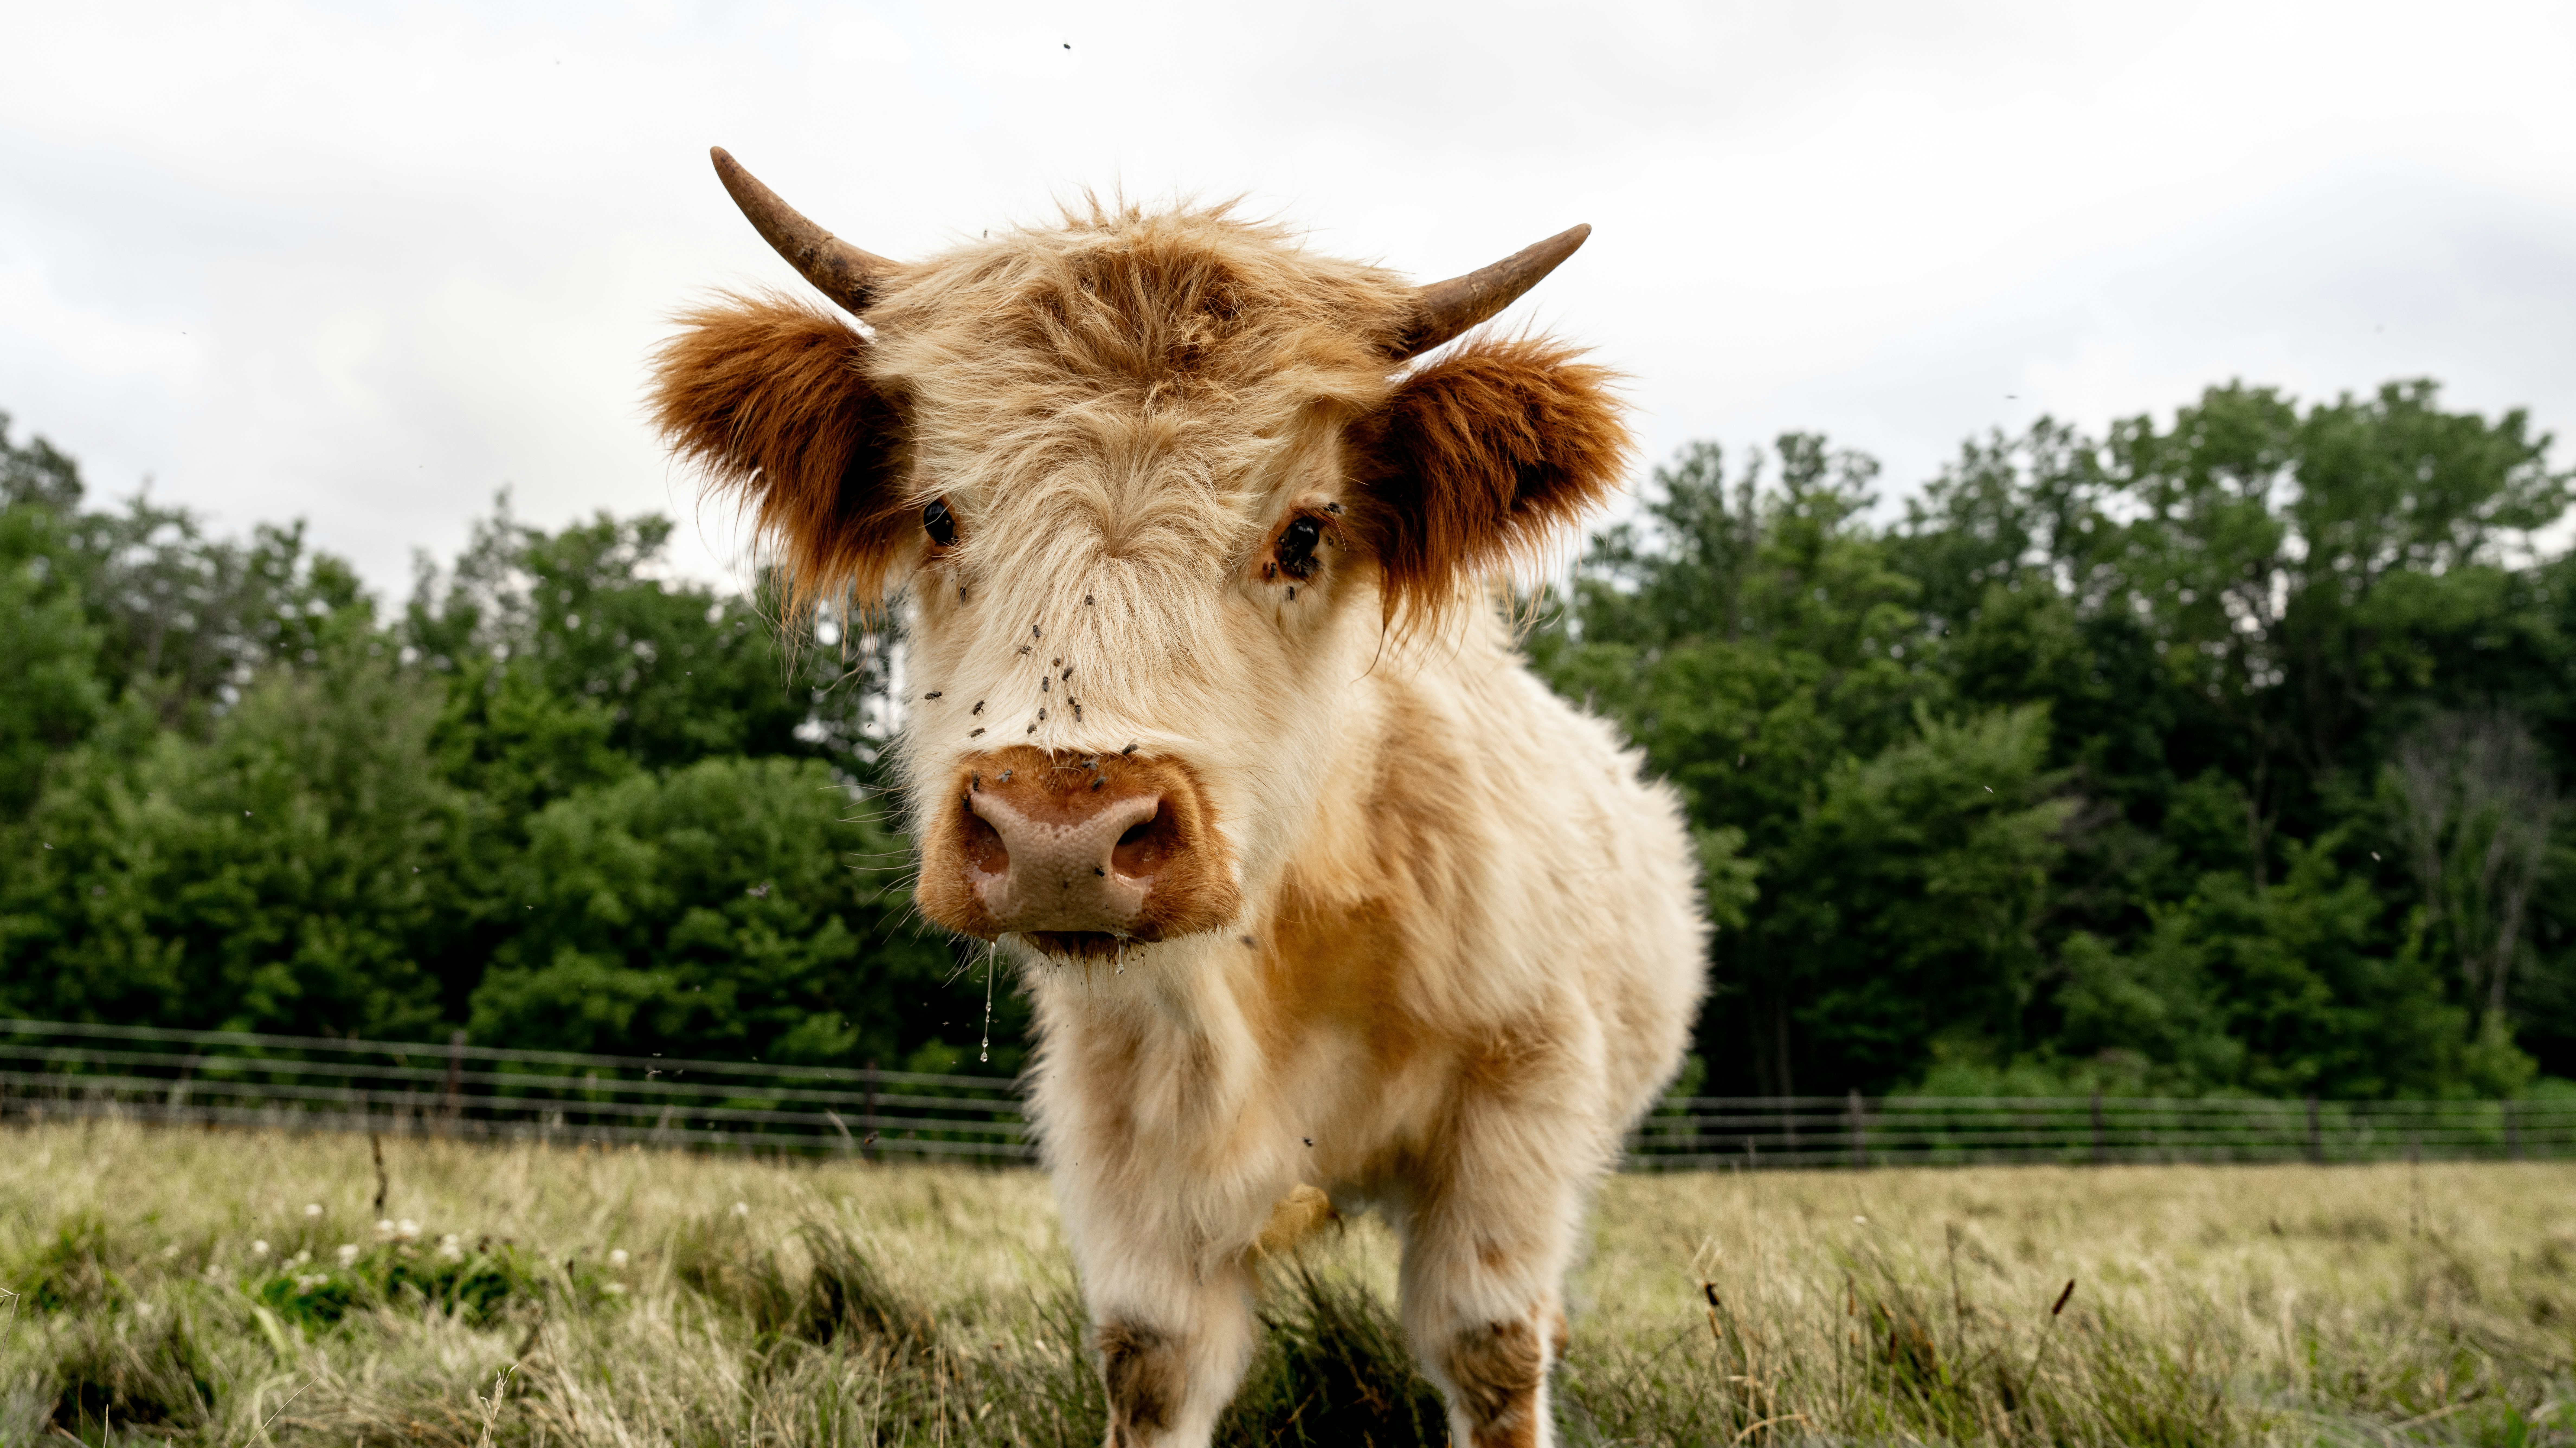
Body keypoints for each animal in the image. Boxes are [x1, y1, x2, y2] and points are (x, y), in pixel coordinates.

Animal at [649, 149, 1707, 1448]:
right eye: (939, 516)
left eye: (1303, 534)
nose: (1061, 833)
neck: (1293, 940)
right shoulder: (1124, 1146)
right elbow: (1153, 1362)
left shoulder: (1524, 1102)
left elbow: (1494, 1352)